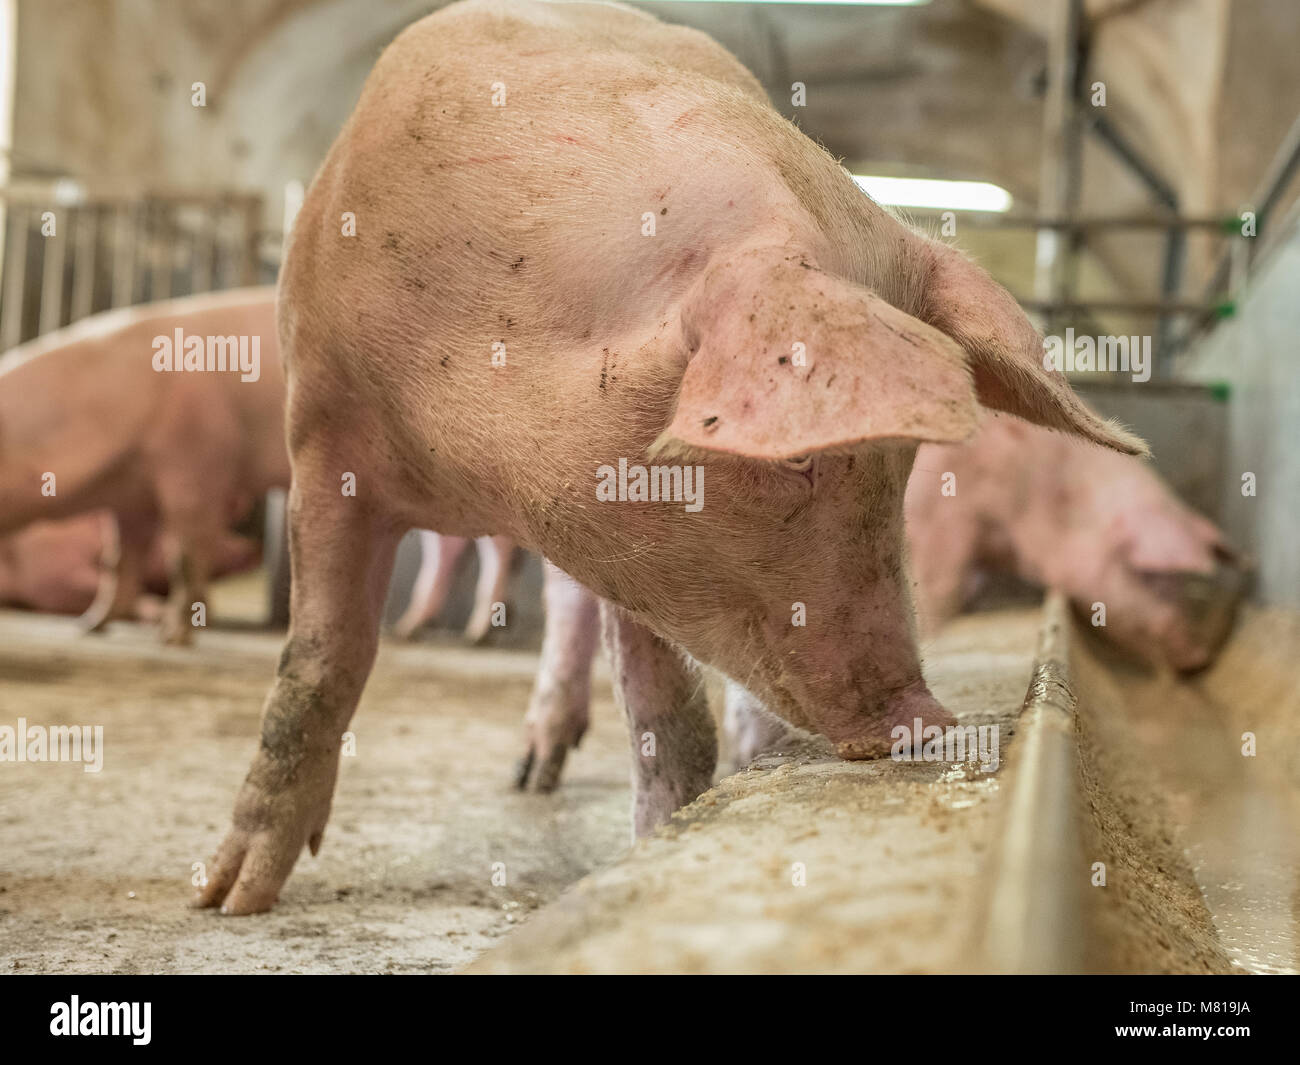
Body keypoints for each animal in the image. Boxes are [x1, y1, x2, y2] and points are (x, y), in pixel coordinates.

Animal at [0, 287, 287, 644]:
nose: (254, 549)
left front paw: (172, 639)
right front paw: (90, 627)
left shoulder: (198, 465)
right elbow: (119, 559)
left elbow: (185, 556)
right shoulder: (132, 496)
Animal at [195, 0, 1139, 915]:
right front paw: (228, 896)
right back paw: (530, 776)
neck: (483, 450)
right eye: (795, 459)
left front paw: (656, 843)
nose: (925, 718)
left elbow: (668, 714)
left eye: (901, 464)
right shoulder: (323, 435)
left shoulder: (627, 521)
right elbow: (319, 660)